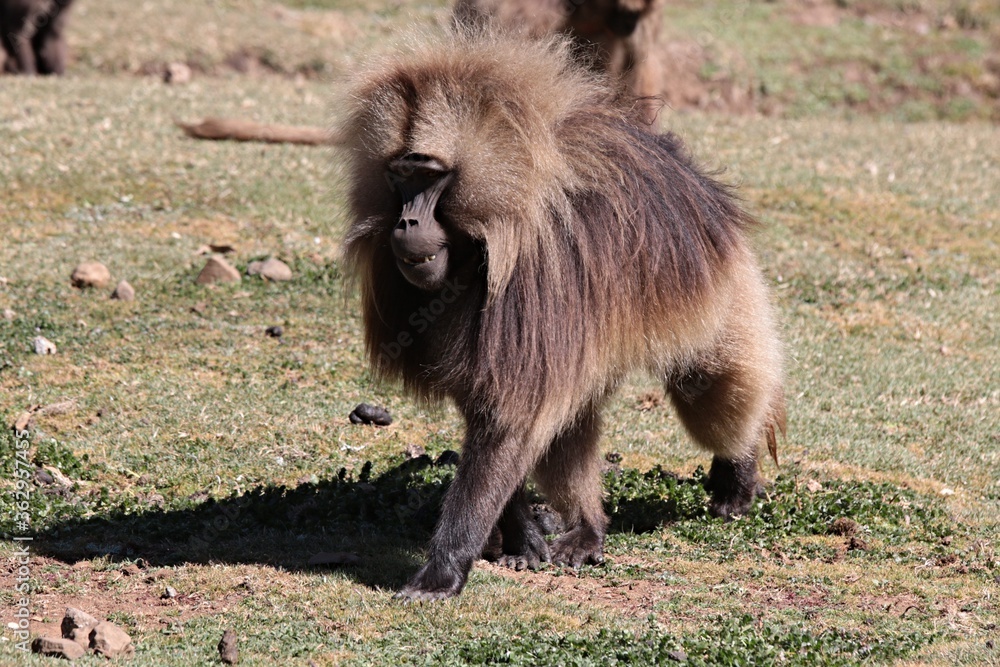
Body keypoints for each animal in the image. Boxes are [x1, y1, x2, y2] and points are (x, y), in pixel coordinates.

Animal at [339, 30, 785, 601]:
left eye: (429, 176)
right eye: (399, 177)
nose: (406, 223)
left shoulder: (534, 282)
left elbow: (509, 417)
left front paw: (442, 572)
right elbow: (494, 411)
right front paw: (522, 539)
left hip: (718, 289)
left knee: (710, 389)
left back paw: (738, 475)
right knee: (575, 424)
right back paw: (587, 529)